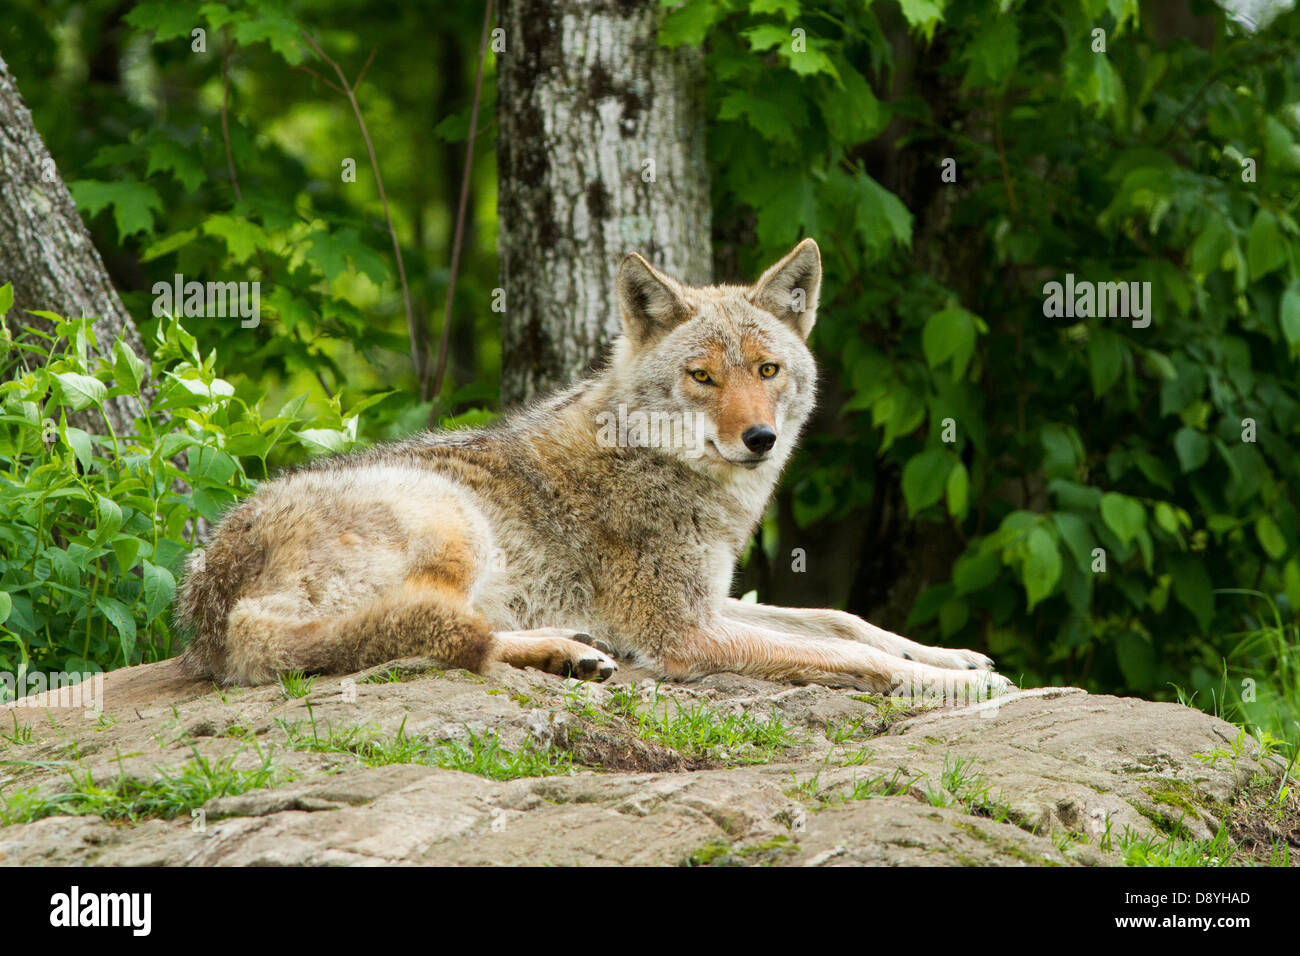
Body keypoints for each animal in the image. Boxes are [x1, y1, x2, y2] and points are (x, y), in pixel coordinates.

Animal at [177, 239, 1012, 699]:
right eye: (703, 377)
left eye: (768, 369)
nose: (760, 439)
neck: (662, 464)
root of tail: (213, 611)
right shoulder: (685, 633)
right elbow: (849, 655)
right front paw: (960, 686)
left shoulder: (712, 600)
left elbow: (845, 620)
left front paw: (954, 655)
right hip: (453, 523)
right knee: (445, 635)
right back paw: (566, 652)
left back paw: (569, 651)